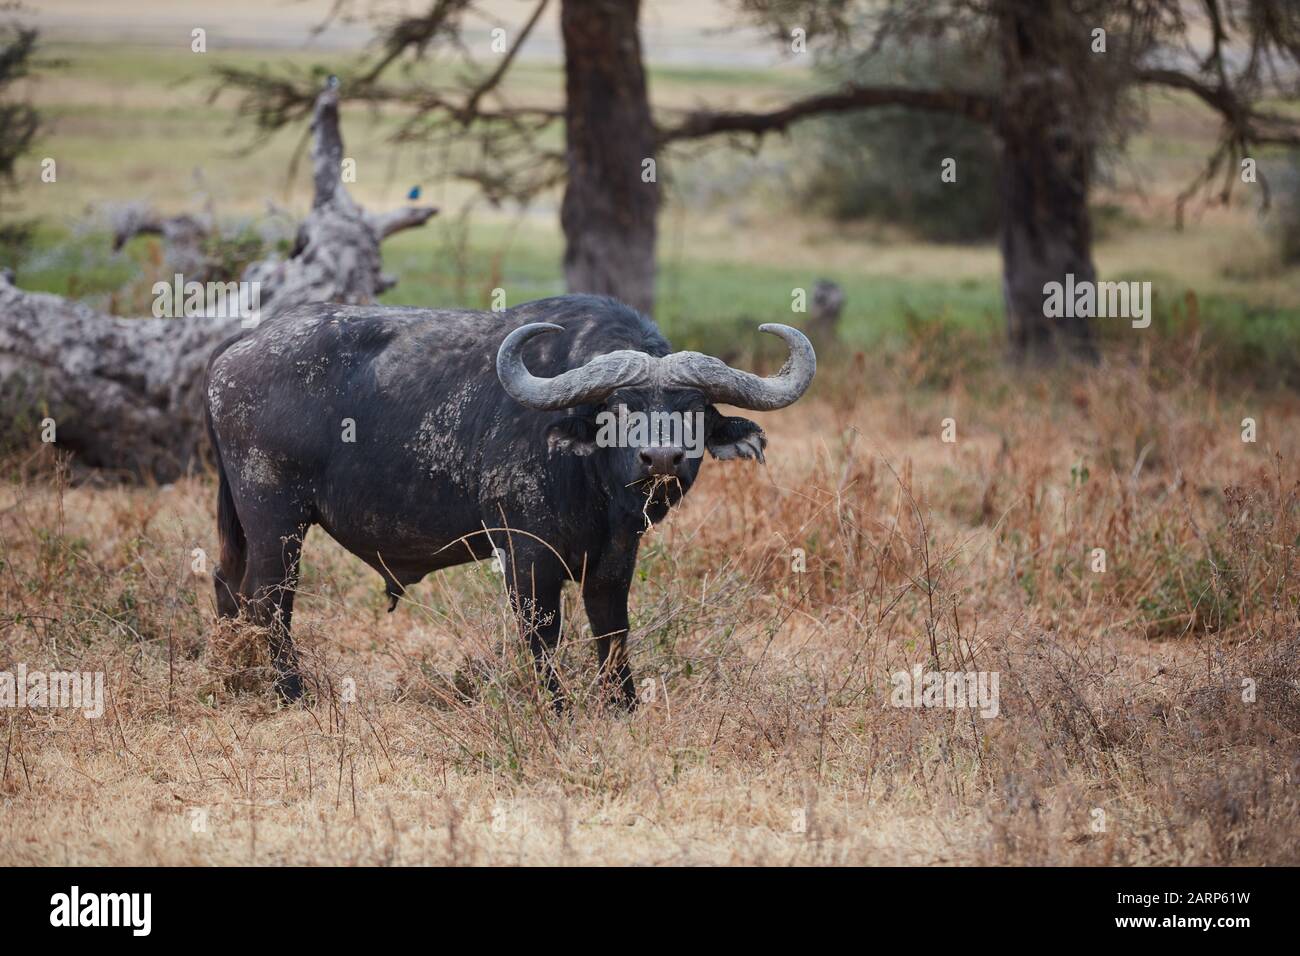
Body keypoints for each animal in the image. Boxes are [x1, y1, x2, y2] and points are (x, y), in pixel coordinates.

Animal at [204, 294, 815, 707]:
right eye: (620, 409)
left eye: (694, 411)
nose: (661, 459)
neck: (591, 483)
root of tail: (232, 356)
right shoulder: (526, 554)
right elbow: (543, 632)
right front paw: (558, 706)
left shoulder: (616, 557)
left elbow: (612, 628)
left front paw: (622, 705)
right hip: (276, 519)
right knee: (269, 599)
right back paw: (291, 691)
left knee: (227, 585)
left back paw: (235, 674)